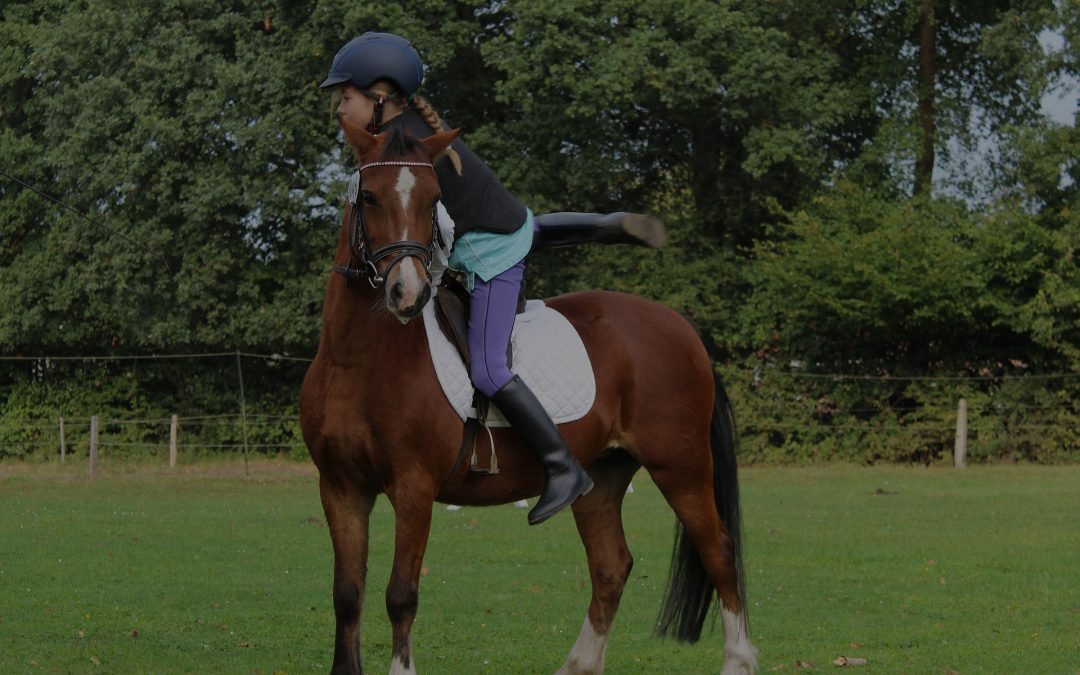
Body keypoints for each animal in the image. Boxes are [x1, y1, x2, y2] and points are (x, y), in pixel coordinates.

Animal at [299, 117, 758, 675]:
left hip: (681, 465)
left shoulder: (413, 488)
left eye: (433, 200)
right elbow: (347, 594)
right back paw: (578, 666)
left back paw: (738, 660)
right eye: (368, 197)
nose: (408, 293)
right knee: (611, 566)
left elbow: (400, 594)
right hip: (603, 475)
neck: (358, 360)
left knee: (718, 551)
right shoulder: (341, 488)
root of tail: (681, 327)